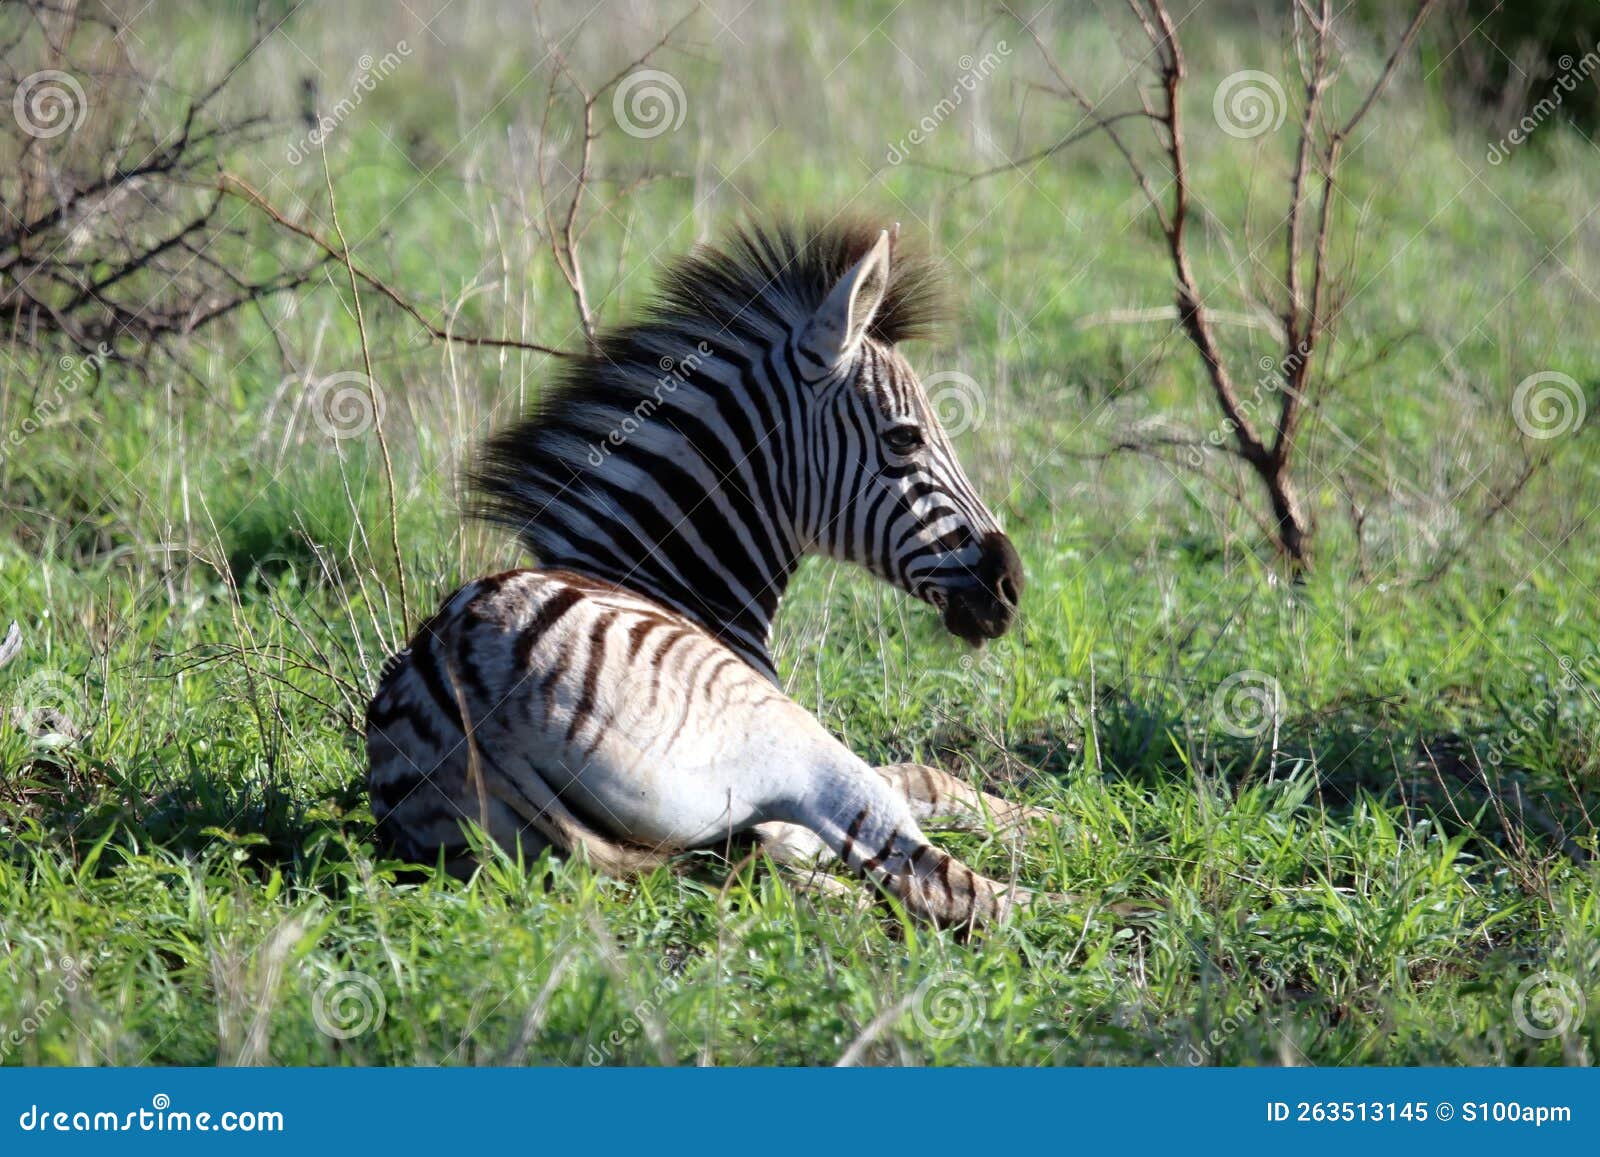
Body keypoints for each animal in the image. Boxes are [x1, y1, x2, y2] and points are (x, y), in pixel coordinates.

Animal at [366, 220, 1050, 930]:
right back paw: (1074, 905)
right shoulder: (778, 797)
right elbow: (925, 781)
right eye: (904, 439)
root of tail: (472, 703)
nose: (1010, 585)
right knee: (947, 885)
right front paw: (1049, 822)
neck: (666, 580)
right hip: (787, 747)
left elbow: (913, 782)